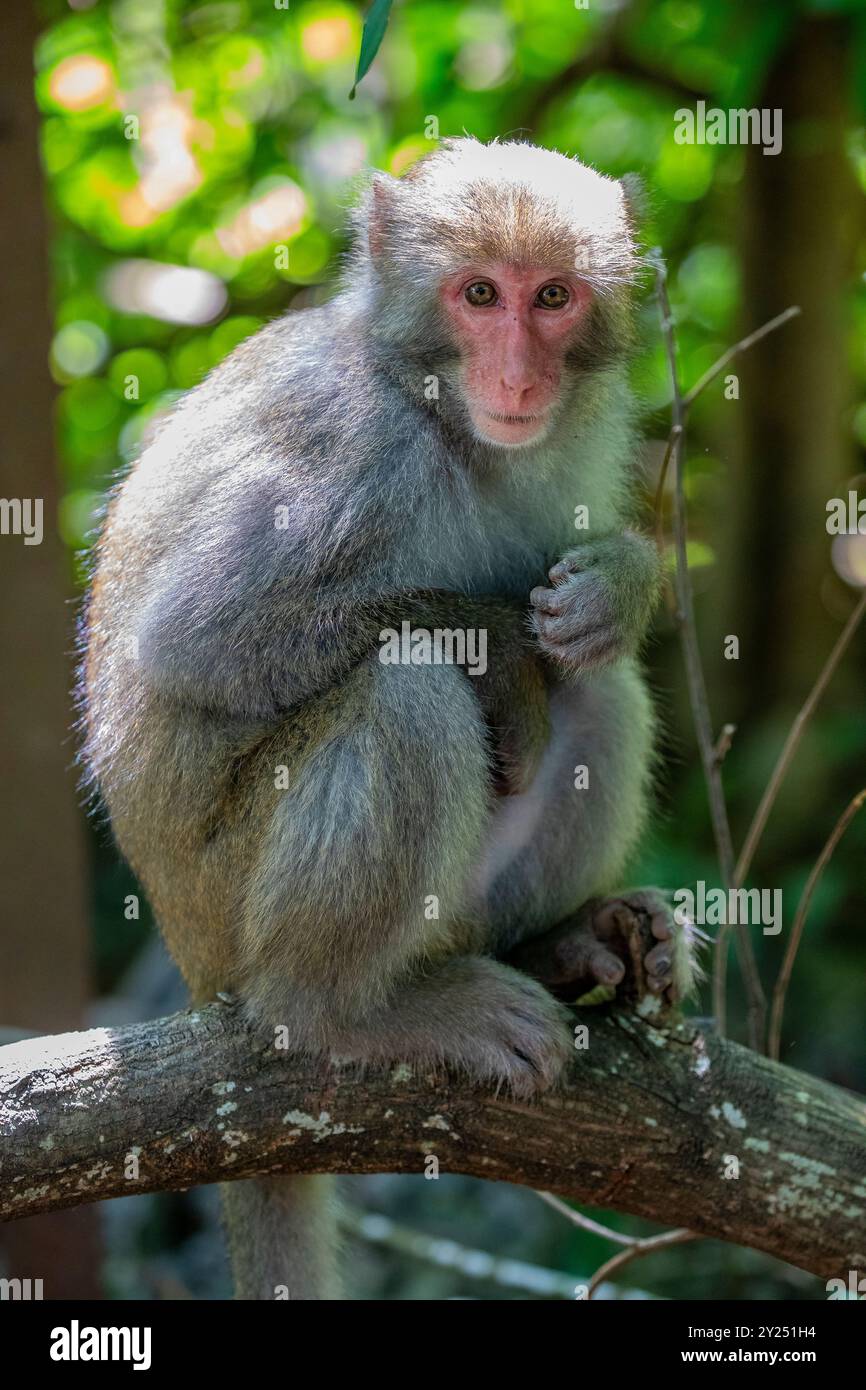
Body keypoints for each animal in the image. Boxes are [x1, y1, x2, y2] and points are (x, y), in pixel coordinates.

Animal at [80, 137, 698, 1301]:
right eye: (478, 295)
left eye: (552, 297)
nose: (518, 377)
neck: (445, 416)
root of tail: (192, 961)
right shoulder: (352, 450)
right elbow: (197, 639)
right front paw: (499, 649)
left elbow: (588, 627)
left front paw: (620, 587)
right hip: (230, 908)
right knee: (402, 691)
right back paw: (347, 1011)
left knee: (599, 693)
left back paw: (556, 938)